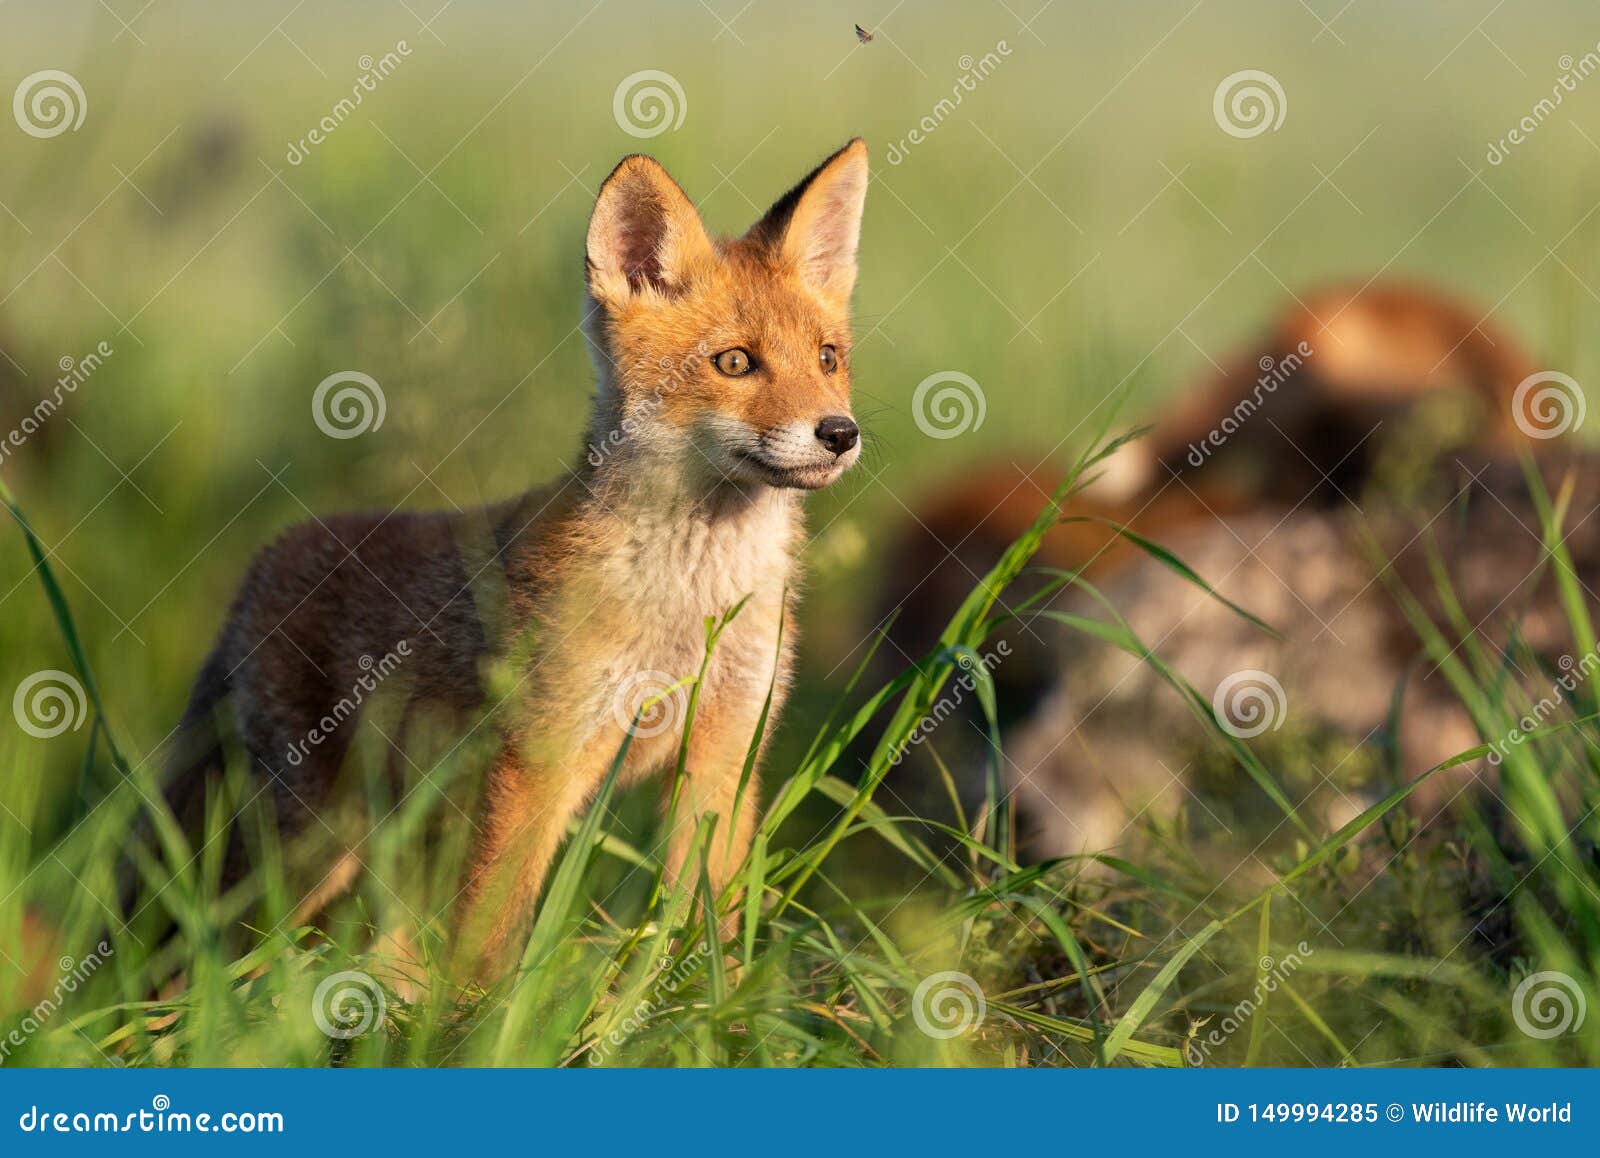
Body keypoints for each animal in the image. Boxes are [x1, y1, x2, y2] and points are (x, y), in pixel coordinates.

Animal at [156, 139, 870, 980]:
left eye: (828, 358)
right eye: (735, 363)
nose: (840, 433)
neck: (690, 609)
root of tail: (266, 556)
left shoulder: (723, 758)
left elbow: (707, 930)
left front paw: (709, 1005)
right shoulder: (538, 764)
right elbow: (492, 940)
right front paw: (480, 1015)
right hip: (309, 850)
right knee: (197, 962)